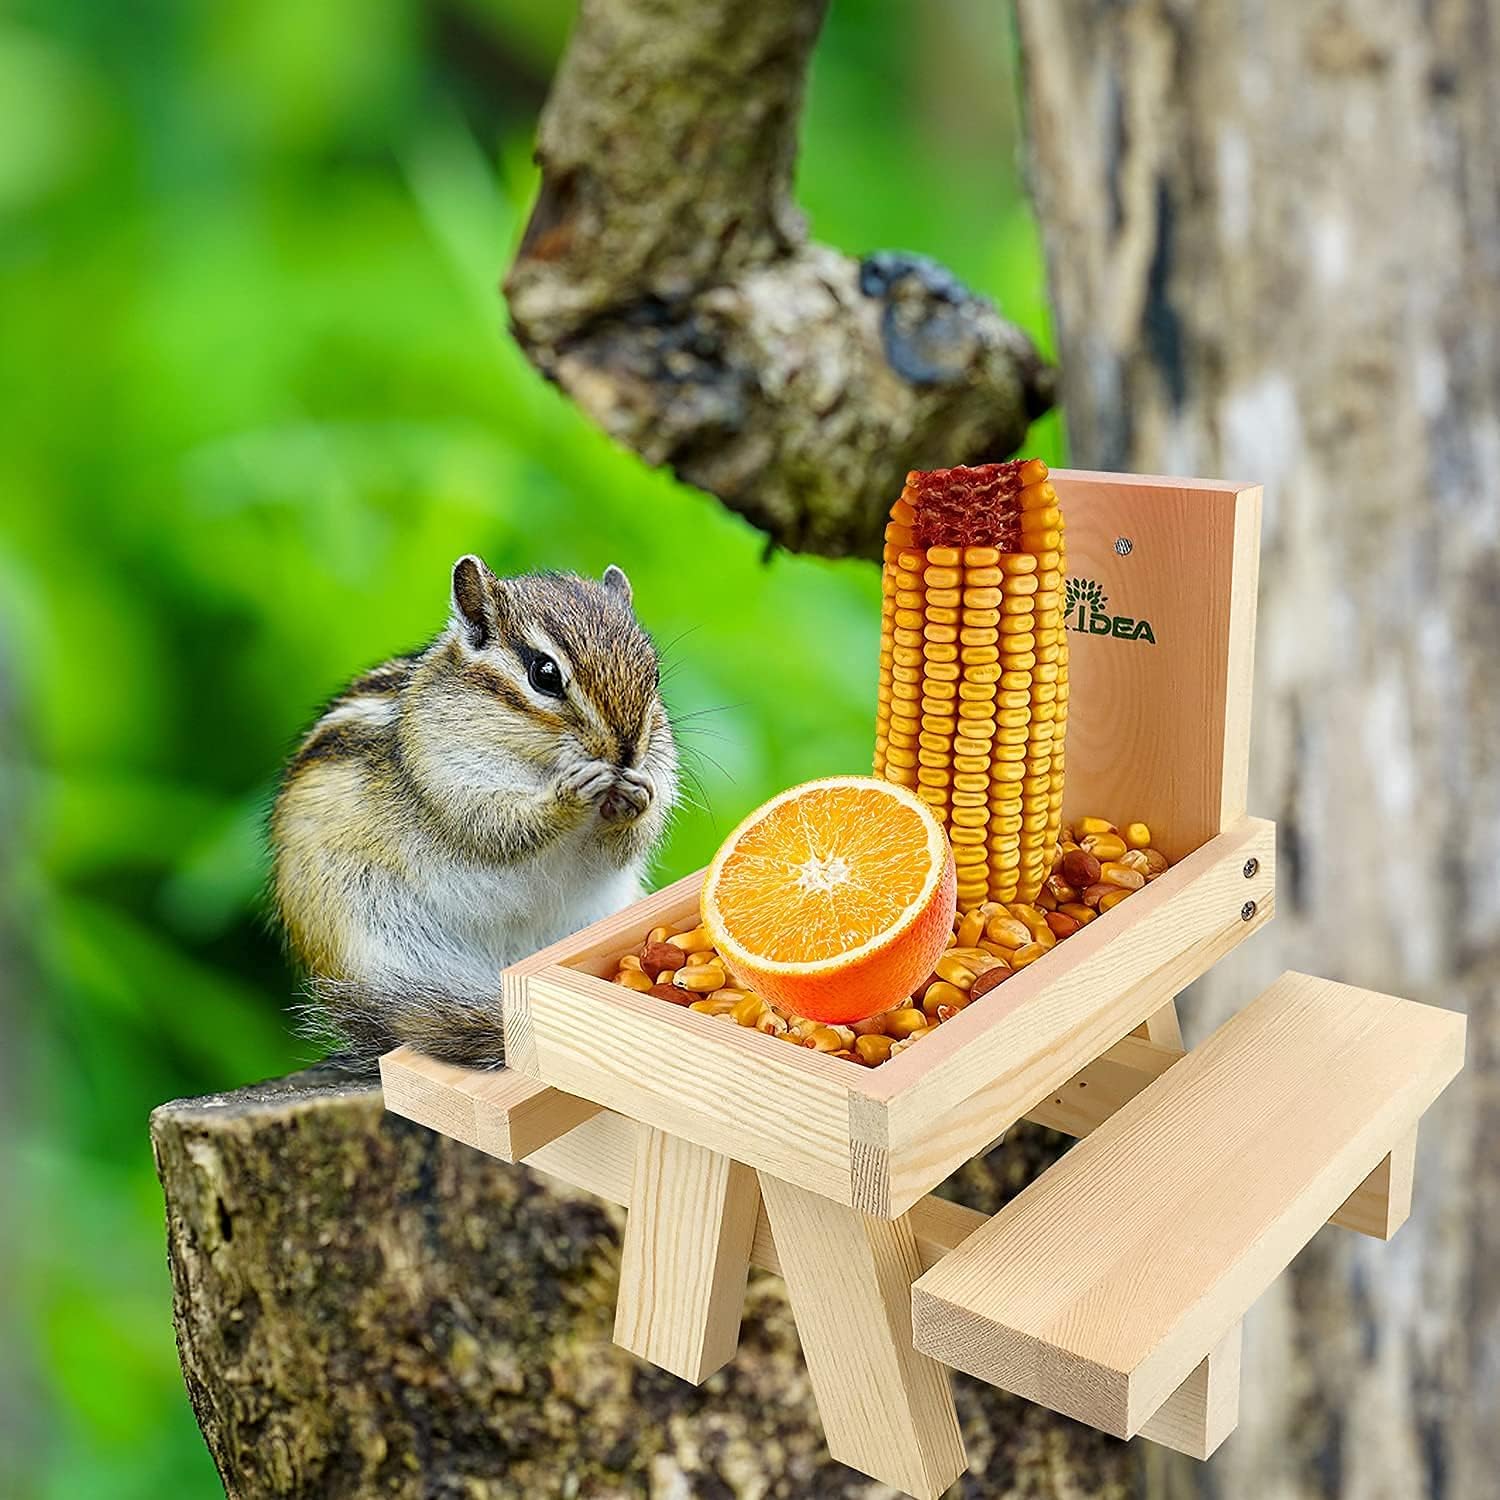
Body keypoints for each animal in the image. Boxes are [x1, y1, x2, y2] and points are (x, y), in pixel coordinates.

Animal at [270, 555, 677, 1070]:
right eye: (545, 674)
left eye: (654, 675)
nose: (627, 754)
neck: (535, 762)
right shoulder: (449, 781)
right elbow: (495, 828)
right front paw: (567, 795)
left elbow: (623, 845)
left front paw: (637, 800)